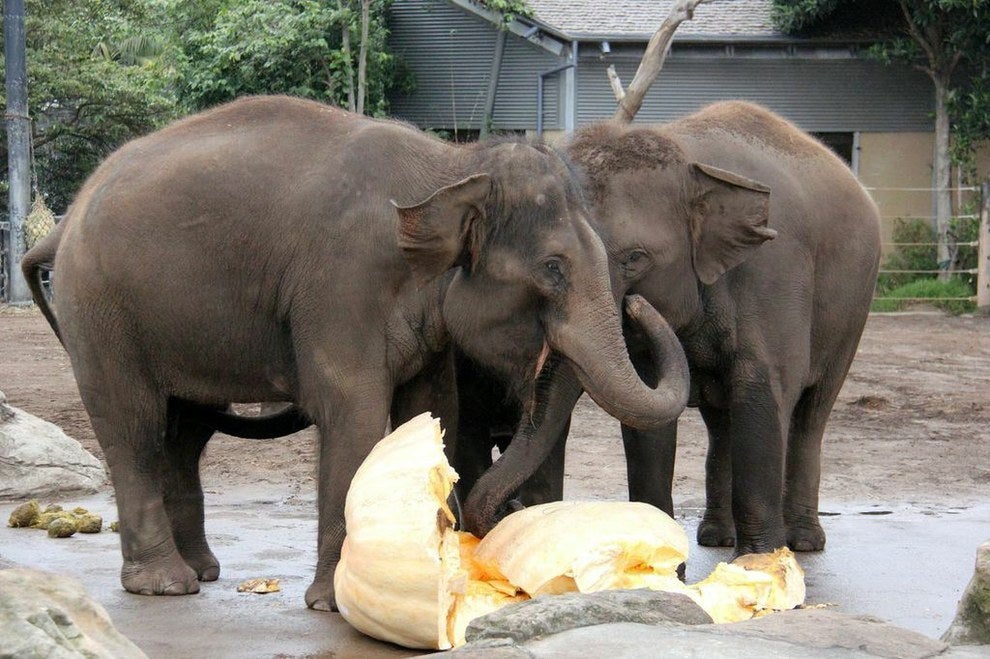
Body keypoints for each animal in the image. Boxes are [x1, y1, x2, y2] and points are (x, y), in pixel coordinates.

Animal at [21, 95, 691, 611]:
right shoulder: (342, 283)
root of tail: (63, 223)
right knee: (133, 425)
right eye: (553, 268)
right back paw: (165, 586)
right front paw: (334, 602)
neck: (451, 167)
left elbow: (432, 412)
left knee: (184, 431)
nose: (637, 305)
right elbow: (354, 412)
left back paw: (202, 572)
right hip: (101, 312)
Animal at [460, 101, 881, 557]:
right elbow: (650, 419)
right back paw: (716, 536)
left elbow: (763, 390)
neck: (689, 159)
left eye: (635, 258)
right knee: (721, 423)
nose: (514, 508)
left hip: (853, 313)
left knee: (811, 414)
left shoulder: (775, 272)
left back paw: (803, 542)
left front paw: (760, 562)